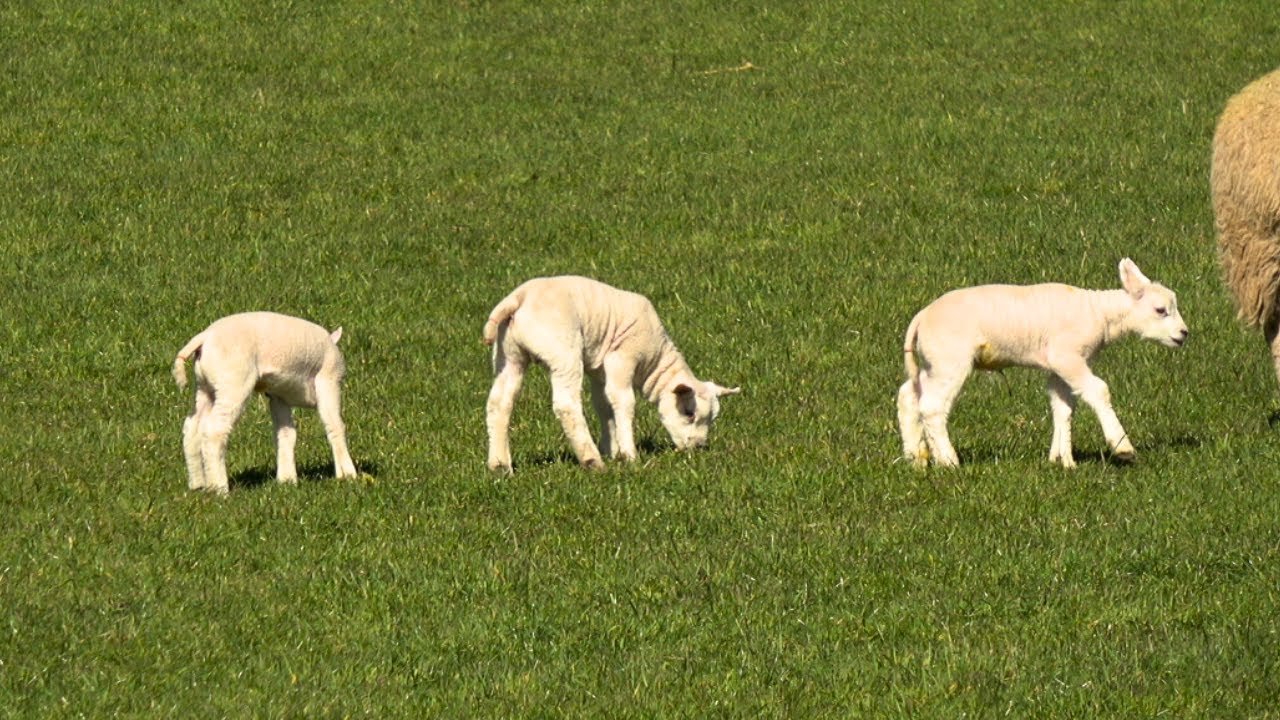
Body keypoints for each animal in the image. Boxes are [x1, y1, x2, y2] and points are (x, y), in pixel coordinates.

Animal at [172, 311, 358, 494]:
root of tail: (205, 337)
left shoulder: (278, 395)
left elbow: (286, 434)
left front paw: (286, 480)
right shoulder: (328, 380)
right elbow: (335, 425)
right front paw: (347, 474)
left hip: (206, 388)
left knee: (192, 427)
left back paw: (198, 484)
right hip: (234, 383)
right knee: (215, 430)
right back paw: (219, 488)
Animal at [483, 275, 740, 474]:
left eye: (712, 419)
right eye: (689, 413)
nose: (697, 448)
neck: (655, 359)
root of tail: (519, 298)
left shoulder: (599, 371)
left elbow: (604, 405)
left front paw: (612, 449)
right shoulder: (622, 357)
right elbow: (624, 401)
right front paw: (628, 455)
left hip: (509, 355)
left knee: (499, 402)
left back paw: (500, 465)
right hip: (562, 352)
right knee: (566, 405)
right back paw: (591, 460)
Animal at [896, 259, 1188, 468]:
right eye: (1161, 310)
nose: (1184, 333)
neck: (1100, 313)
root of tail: (922, 316)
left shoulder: (1058, 366)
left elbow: (1063, 407)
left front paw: (1062, 461)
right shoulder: (1067, 356)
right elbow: (1098, 390)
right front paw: (1122, 446)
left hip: (934, 360)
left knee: (909, 395)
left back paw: (917, 458)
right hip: (951, 359)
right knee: (932, 407)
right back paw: (949, 462)